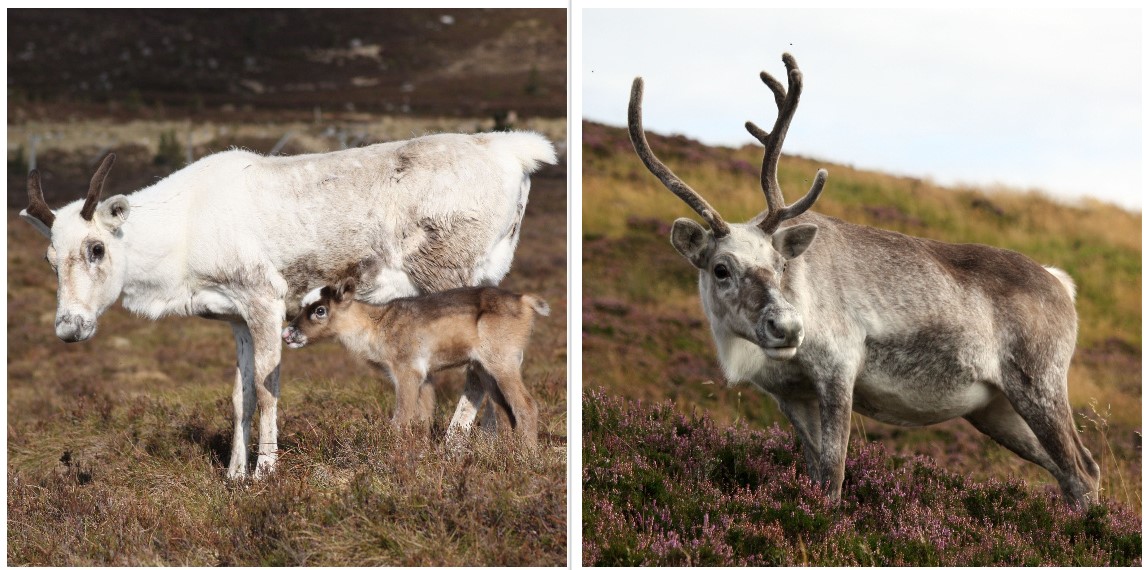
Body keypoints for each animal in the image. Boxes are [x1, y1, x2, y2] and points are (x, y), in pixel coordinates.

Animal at [282, 278, 548, 448]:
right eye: (302, 306)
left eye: (320, 310)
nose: (287, 334)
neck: (375, 327)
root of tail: (524, 300)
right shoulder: (425, 376)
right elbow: (422, 420)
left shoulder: (407, 372)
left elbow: (400, 420)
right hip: (484, 369)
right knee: (505, 411)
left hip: (503, 363)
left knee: (526, 405)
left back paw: (527, 457)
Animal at [628, 53, 1100, 507]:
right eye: (721, 268)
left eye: (780, 264)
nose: (788, 327)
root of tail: (1061, 284)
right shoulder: (791, 395)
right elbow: (815, 471)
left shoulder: (839, 367)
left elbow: (834, 475)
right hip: (994, 407)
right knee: (1076, 470)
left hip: (1039, 382)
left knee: (1080, 469)